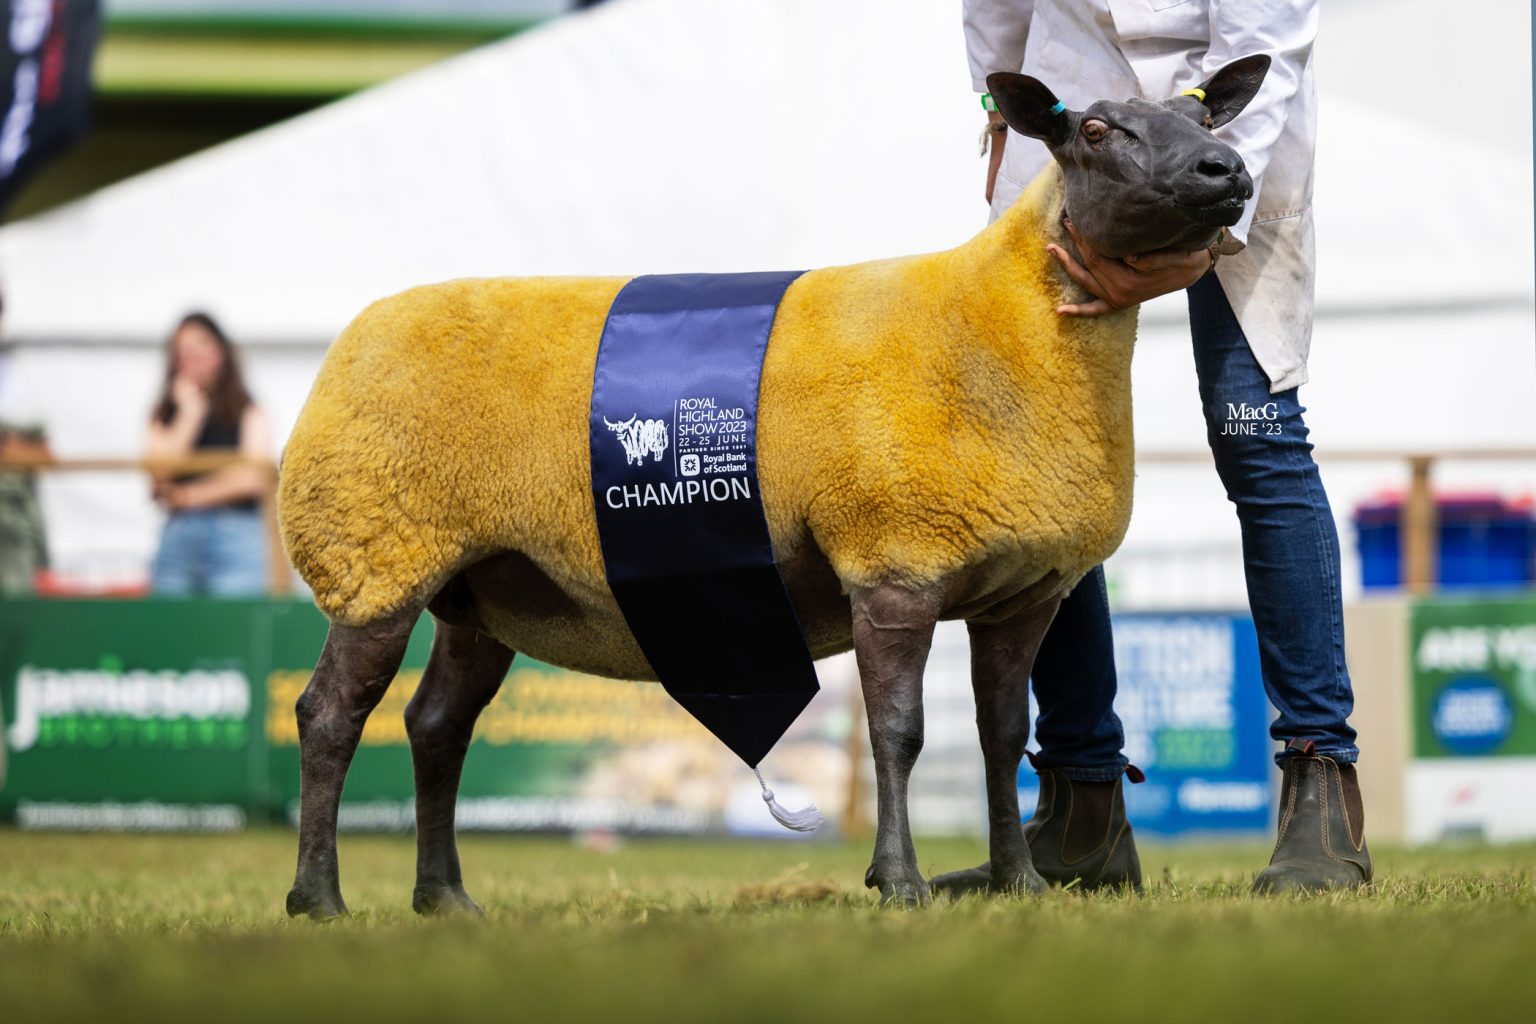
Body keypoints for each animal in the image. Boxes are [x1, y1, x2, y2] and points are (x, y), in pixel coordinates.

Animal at [278, 58, 1271, 917]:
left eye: (1205, 118)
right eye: (1096, 130)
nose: (1227, 169)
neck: (1003, 330)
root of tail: (356, 334)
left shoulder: (1020, 595)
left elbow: (999, 738)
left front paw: (1018, 884)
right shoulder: (893, 563)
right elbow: (898, 731)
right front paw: (899, 884)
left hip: (482, 588)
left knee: (435, 726)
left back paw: (444, 899)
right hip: (375, 551)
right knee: (330, 716)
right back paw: (318, 899)